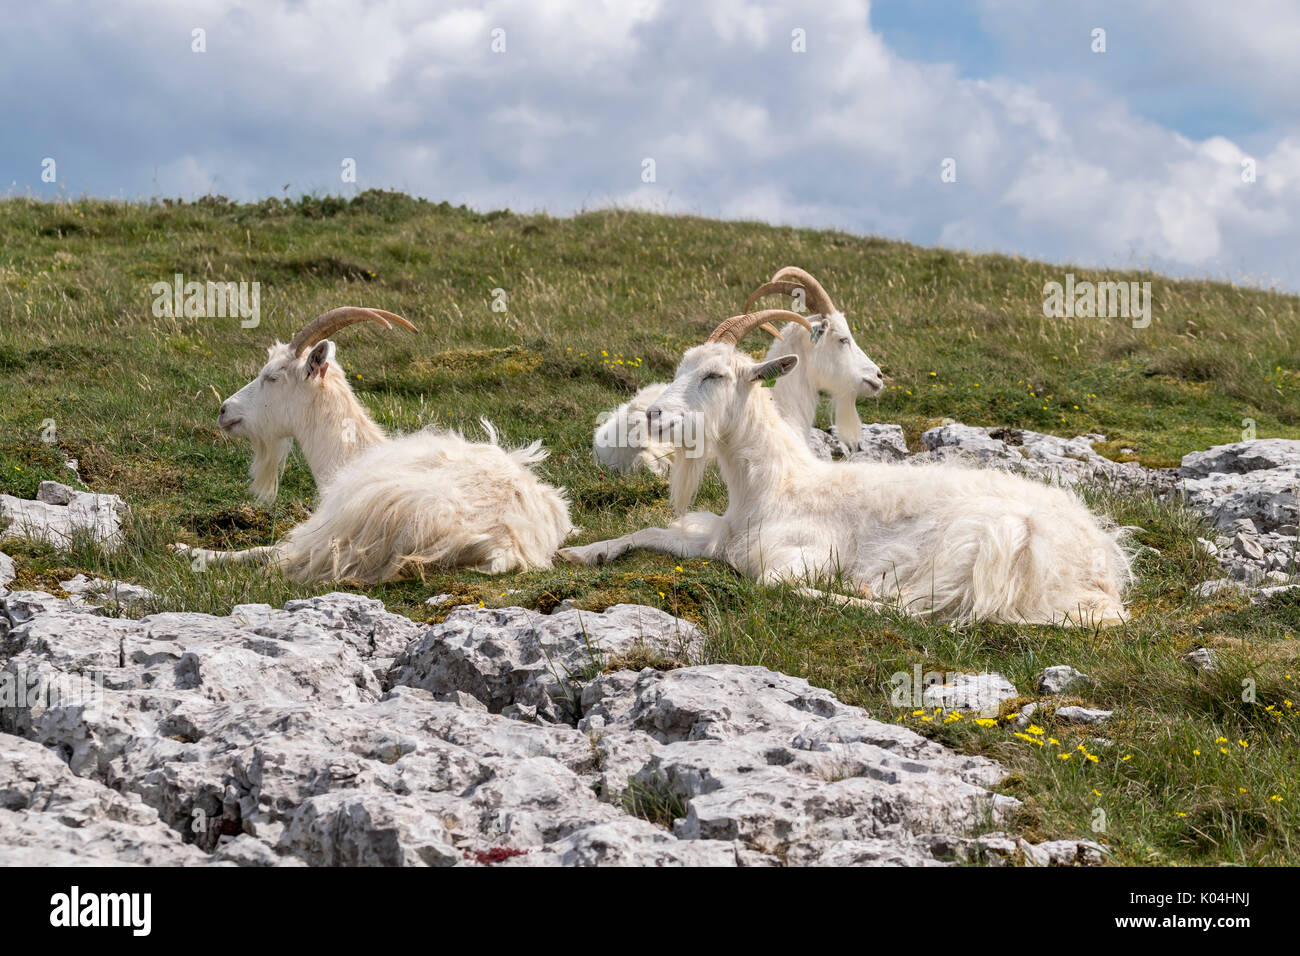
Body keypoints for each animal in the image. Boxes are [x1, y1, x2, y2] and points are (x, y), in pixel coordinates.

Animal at [173, 307, 573, 582]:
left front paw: (188, 549)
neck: (352, 454)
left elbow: (264, 548)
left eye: (271, 377)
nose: (224, 410)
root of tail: (505, 539)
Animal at [560, 310, 1131, 627]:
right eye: (682, 369)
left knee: (923, 610)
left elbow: (769, 583)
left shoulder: (806, 553)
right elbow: (648, 531)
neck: (778, 485)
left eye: (716, 375)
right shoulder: (719, 538)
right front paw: (581, 551)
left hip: (987, 544)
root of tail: (1100, 571)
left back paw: (867, 593)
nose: (653, 414)